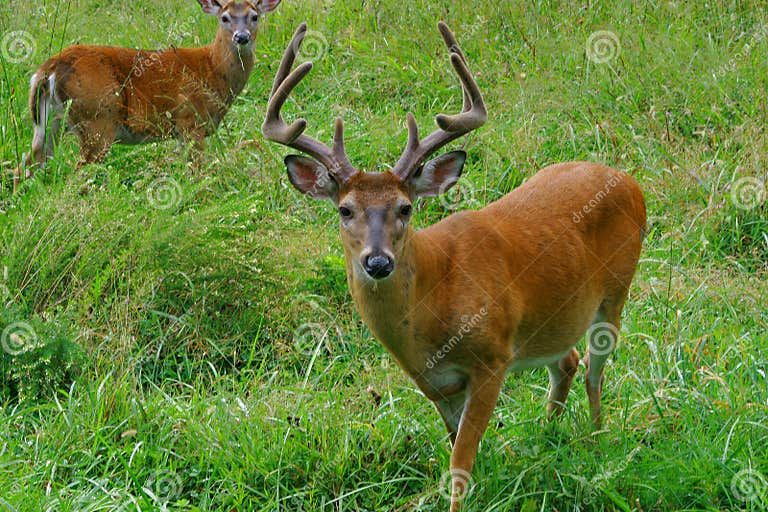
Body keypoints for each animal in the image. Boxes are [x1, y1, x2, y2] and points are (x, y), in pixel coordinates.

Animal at [12, 0, 281, 192]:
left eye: (254, 16)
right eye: (224, 18)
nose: (241, 37)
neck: (212, 69)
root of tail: (49, 68)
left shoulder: (181, 130)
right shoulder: (190, 120)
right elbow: (197, 172)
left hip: (49, 123)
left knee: (25, 166)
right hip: (98, 119)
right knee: (78, 173)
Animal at [263, 23, 647, 511]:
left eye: (405, 207)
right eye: (345, 209)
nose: (378, 261)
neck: (431, 307)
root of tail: (630, 181)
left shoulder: (492, 357)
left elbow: (460, 462)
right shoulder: (435, 383)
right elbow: (455, 448)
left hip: (616, 293)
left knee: (596, 372)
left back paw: (596, 442)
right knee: (568, 360)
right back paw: (548, 438)